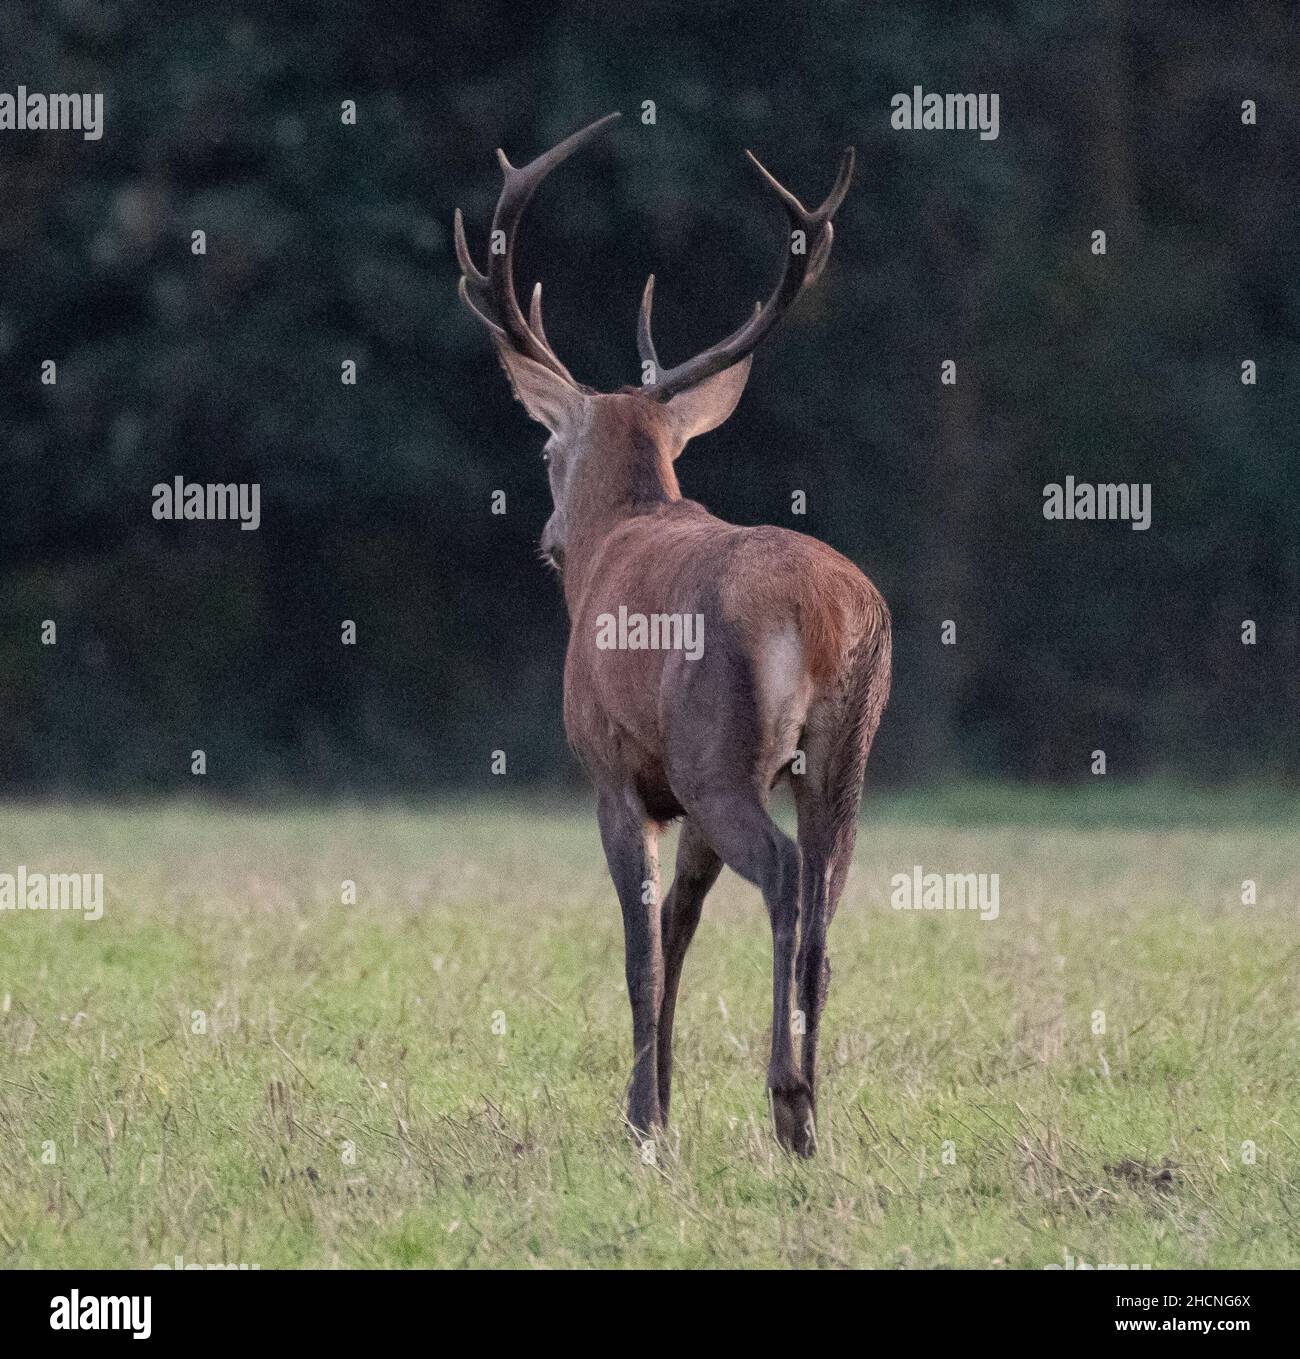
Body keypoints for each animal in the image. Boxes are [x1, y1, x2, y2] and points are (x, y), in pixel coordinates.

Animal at [455, 112, 891, 1156]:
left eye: (545, 446)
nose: (546, 538)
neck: (624, 529)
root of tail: (830, 615)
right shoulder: (680, 801)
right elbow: (683, 930)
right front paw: (652, 1097)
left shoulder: (617, 769)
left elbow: (641, 949)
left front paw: (647, 1120)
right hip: (847, 752)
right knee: (826, 903)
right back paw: (816, 1108)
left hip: (716, 748)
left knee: (784, 874)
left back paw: (788, 1100)